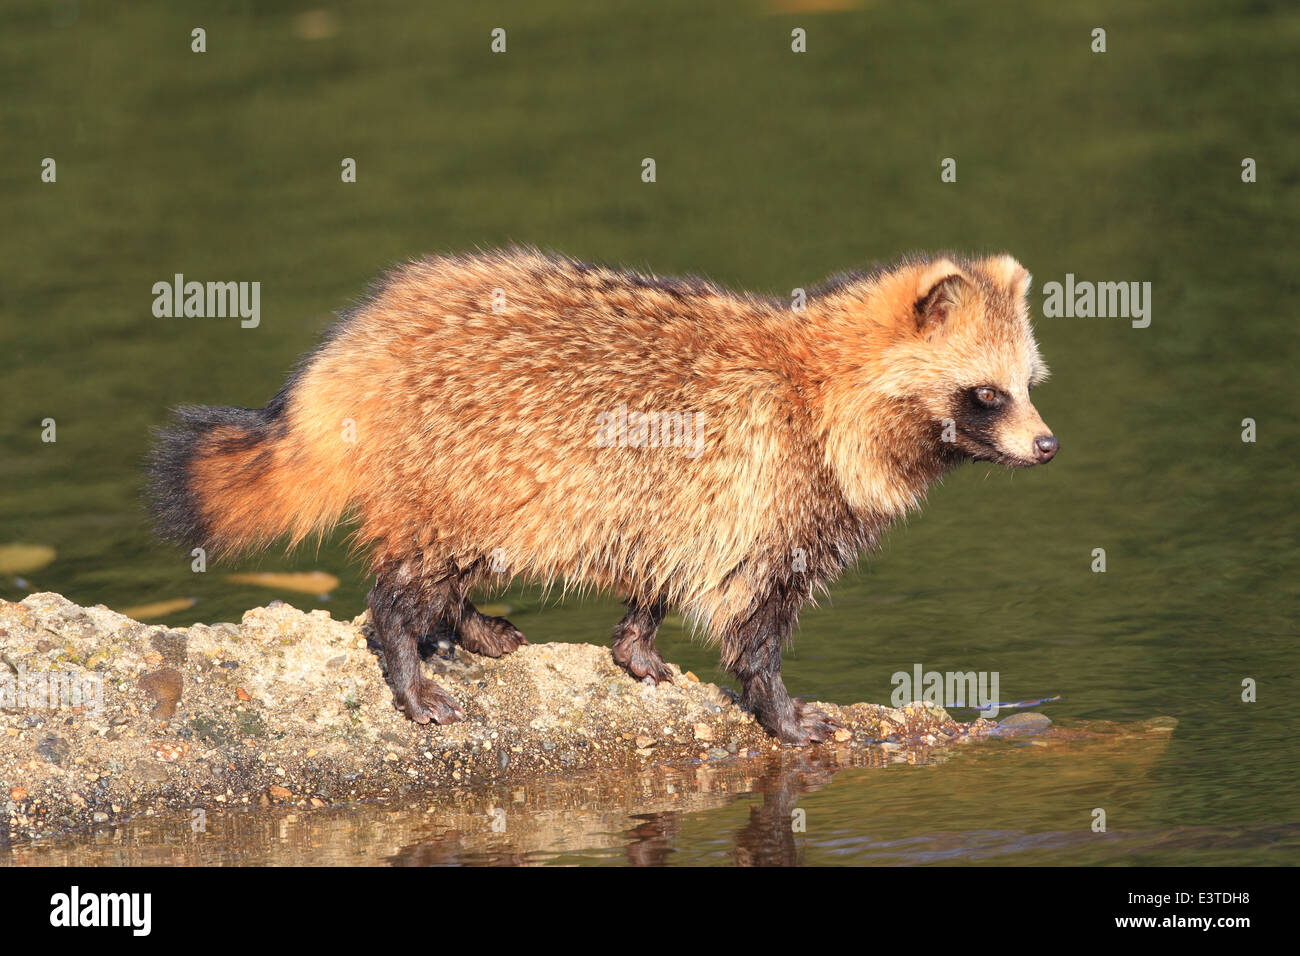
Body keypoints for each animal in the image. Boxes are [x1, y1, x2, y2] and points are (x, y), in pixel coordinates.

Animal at [147, 248, 1056, 744]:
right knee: (409, 577)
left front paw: (637, 640)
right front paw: (777, 707)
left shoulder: (692, 496)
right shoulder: (773, 485)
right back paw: (408, 653)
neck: (829, 378)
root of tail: (358, 347)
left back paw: (464, 620)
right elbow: (751, 616)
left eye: (1029, 386)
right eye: (987, 395)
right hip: (454, 458)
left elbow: (660, 568)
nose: (1048, 445)